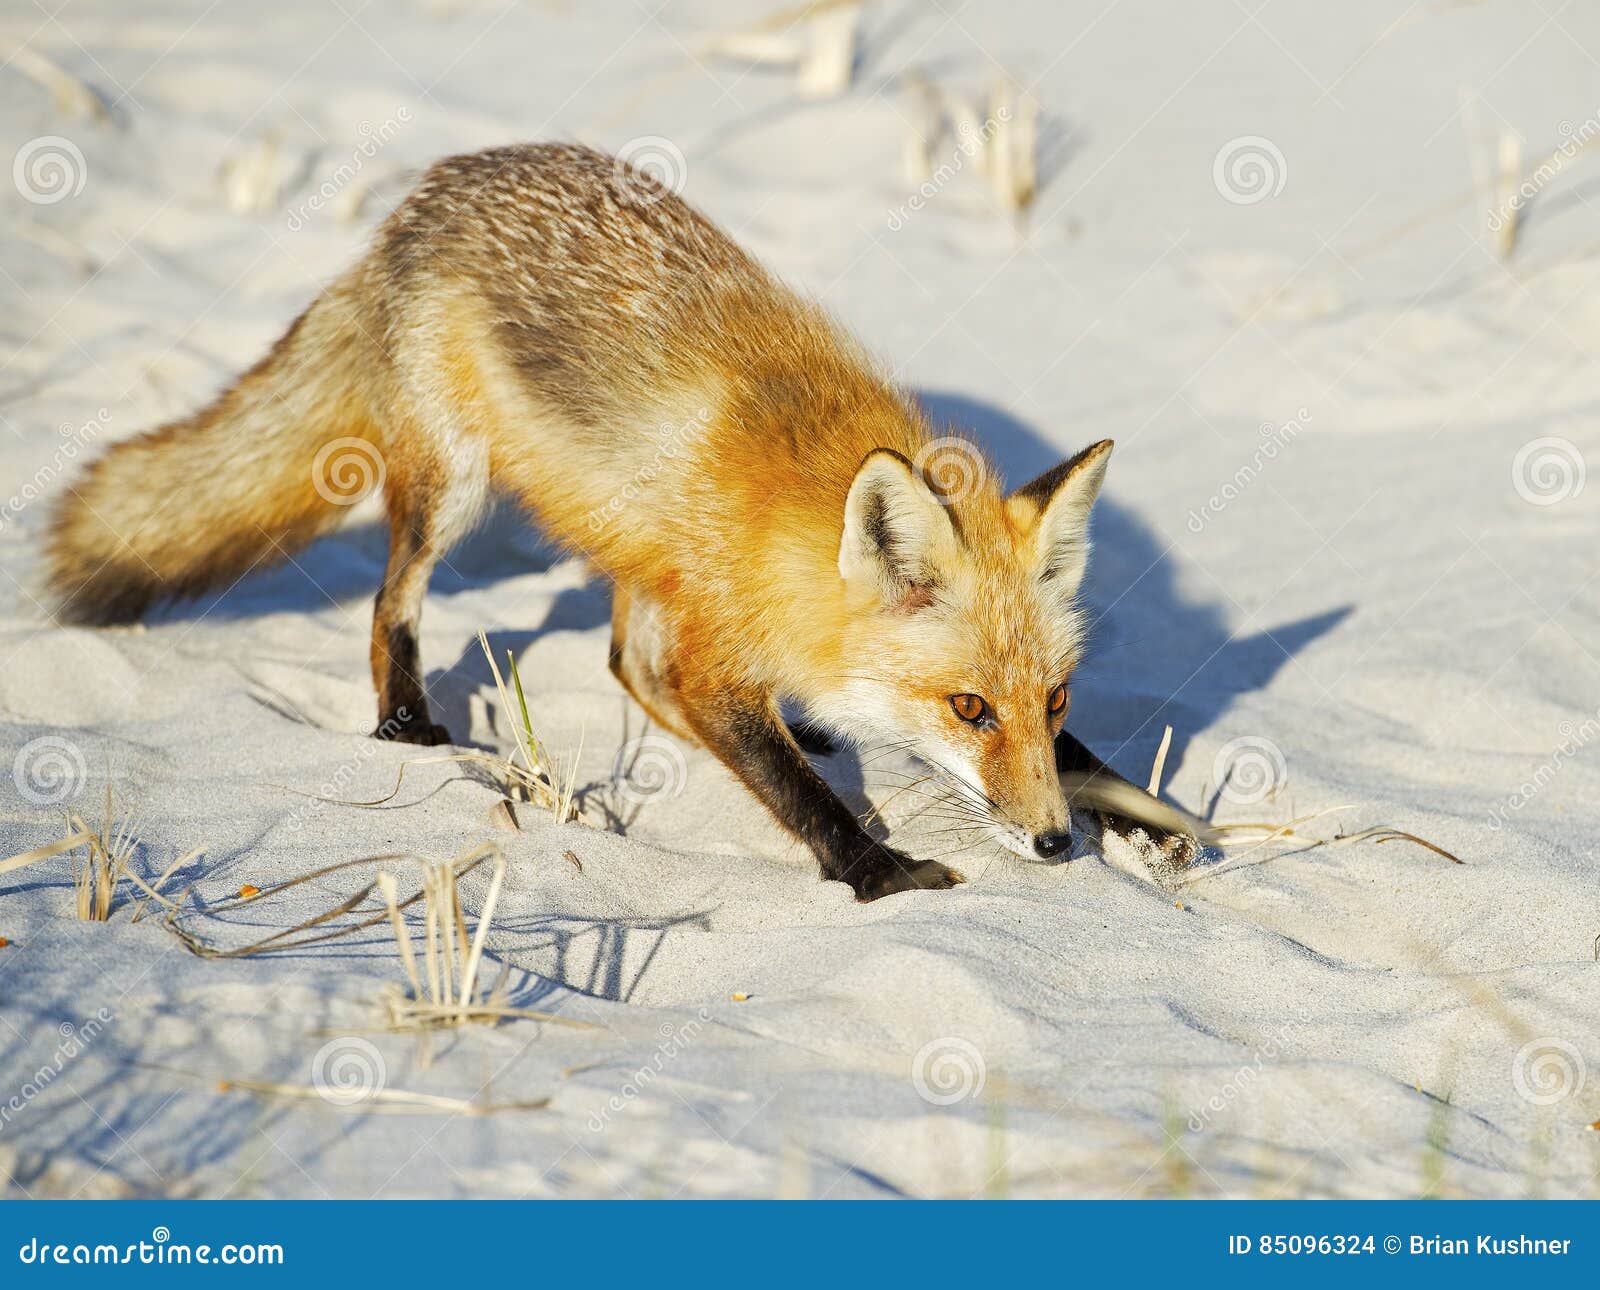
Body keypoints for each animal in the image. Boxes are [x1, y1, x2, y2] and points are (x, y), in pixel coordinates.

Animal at [45, 142, 1200, 900]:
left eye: (1053, 699)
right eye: (968, 709)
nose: (1051, 848)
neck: (791, 533)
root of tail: (427, 190)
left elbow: (1094, 766)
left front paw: (1154, 823)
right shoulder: (713, 652)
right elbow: (795, 791)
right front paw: (875, 870)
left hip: (634, 545)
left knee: (621, 665)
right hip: (455, 490)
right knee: (394, 602)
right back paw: (405, 719)